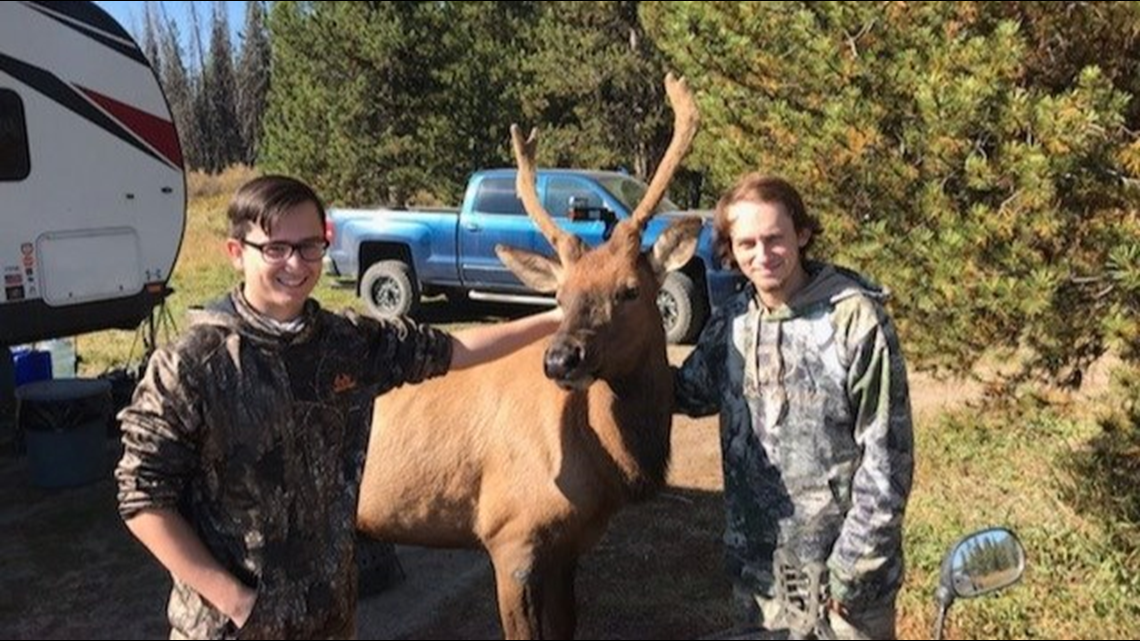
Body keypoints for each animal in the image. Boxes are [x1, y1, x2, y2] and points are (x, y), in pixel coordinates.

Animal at [356, 73, 701, 640]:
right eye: (560, 295)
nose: (560, 360)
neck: (605, 460)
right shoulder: (510, 535)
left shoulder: (568, 547)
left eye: (630, 290)